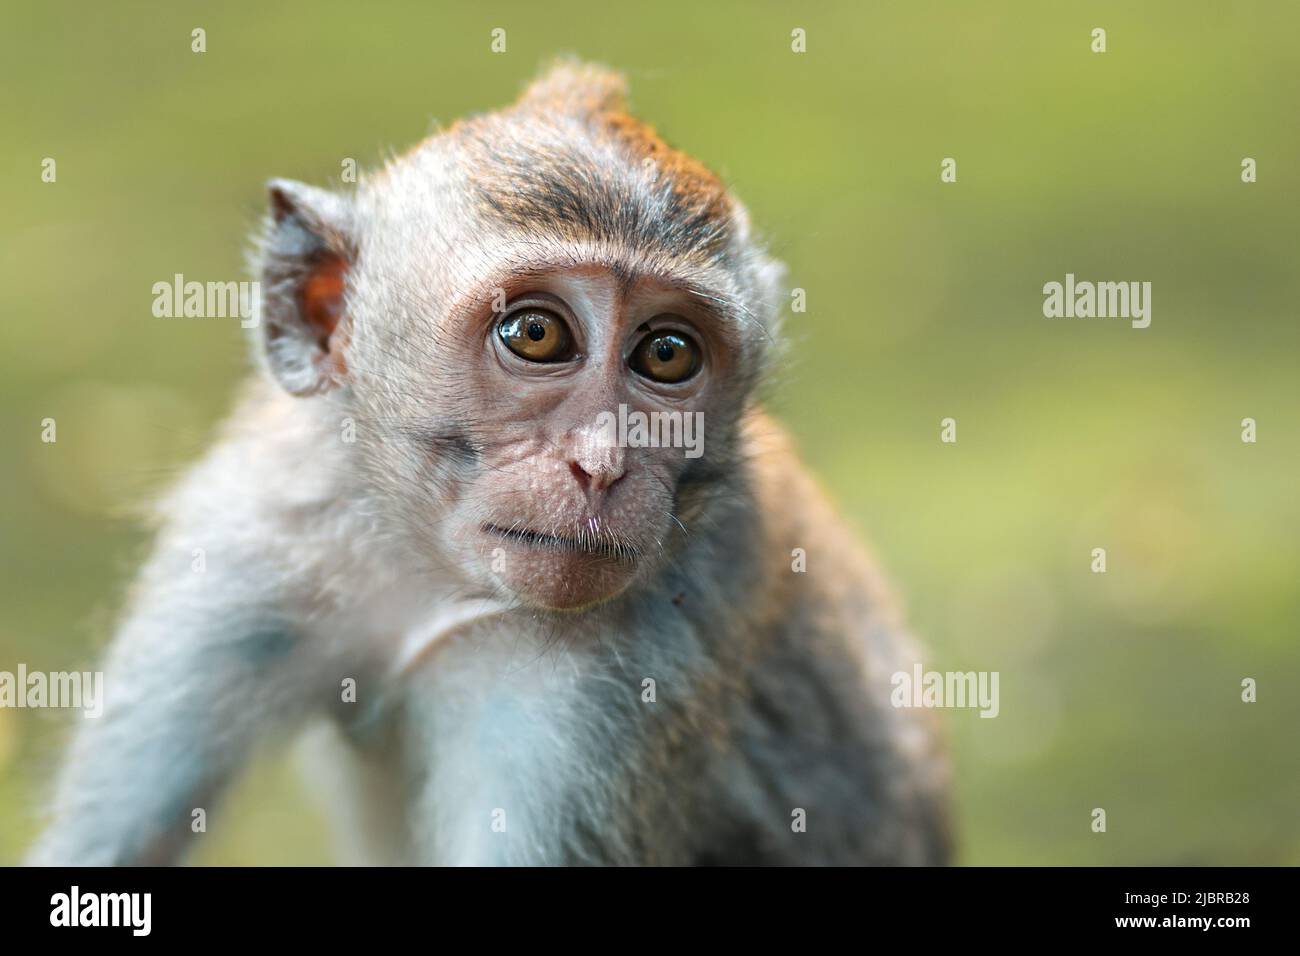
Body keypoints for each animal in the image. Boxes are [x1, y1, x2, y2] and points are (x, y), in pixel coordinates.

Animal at [27, 60, 951, 866]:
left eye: (667, 353)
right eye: (535, 333)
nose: (600, 466)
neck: (426, 569)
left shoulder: (607, 691)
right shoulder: (252, 537)